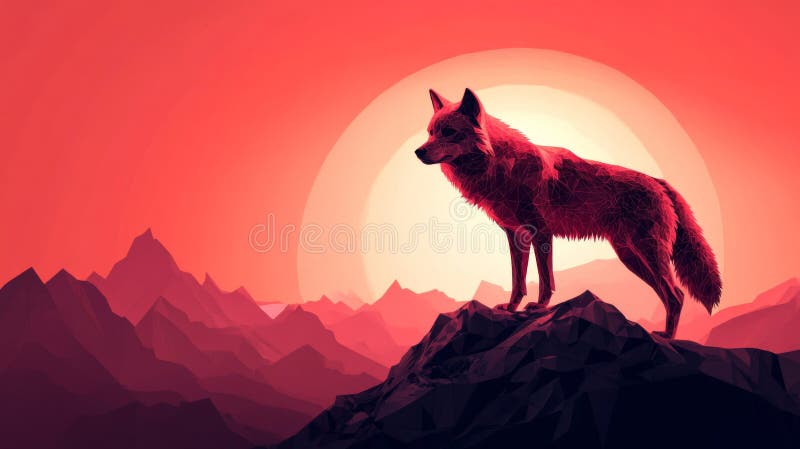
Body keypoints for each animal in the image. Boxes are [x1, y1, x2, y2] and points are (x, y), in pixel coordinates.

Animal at [415, 88, 721, 338]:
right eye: (430, 132)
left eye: (448, 132)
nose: (418, 152)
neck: (502, 168)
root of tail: (660, 182)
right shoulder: (515, 236)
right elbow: (518, 280)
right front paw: (512, 307)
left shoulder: (541, 233)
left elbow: (545, 279)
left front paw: (539, 306)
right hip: (632, 258)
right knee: (669, 295)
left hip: (647, 254)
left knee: (676, 294)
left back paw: (668, 337)